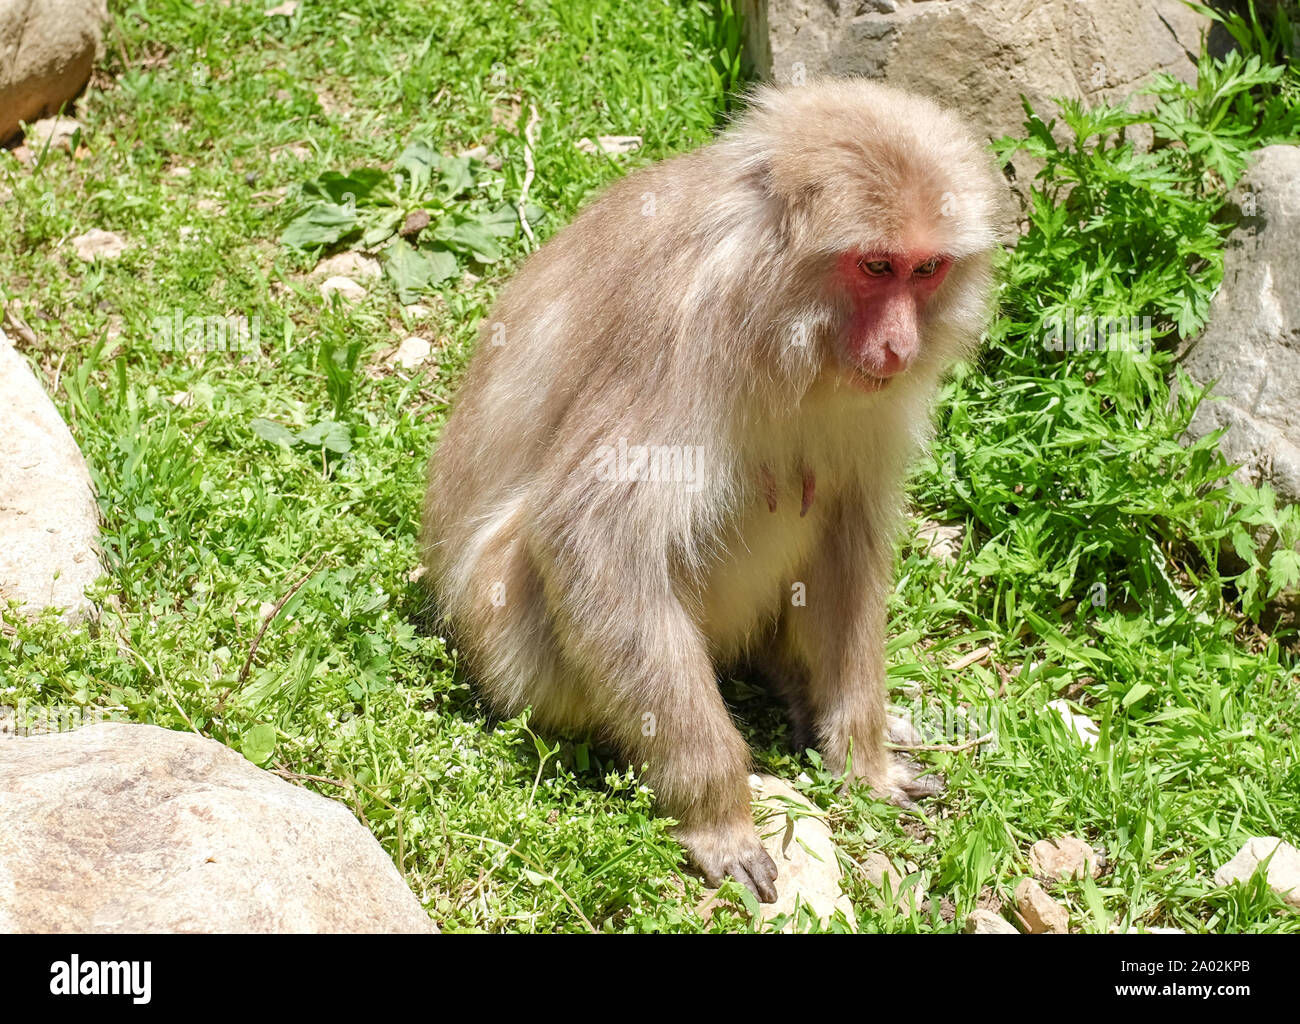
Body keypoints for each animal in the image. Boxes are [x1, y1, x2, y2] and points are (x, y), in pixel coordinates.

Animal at [421, 79, 1001, 902]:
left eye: (926, 272)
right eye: (875, 265)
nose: (899, 347)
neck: (783, 315)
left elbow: (851, 527)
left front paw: (862, 760)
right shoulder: (686, 326)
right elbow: (590, 534)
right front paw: (718, 813)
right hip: (504, 639)